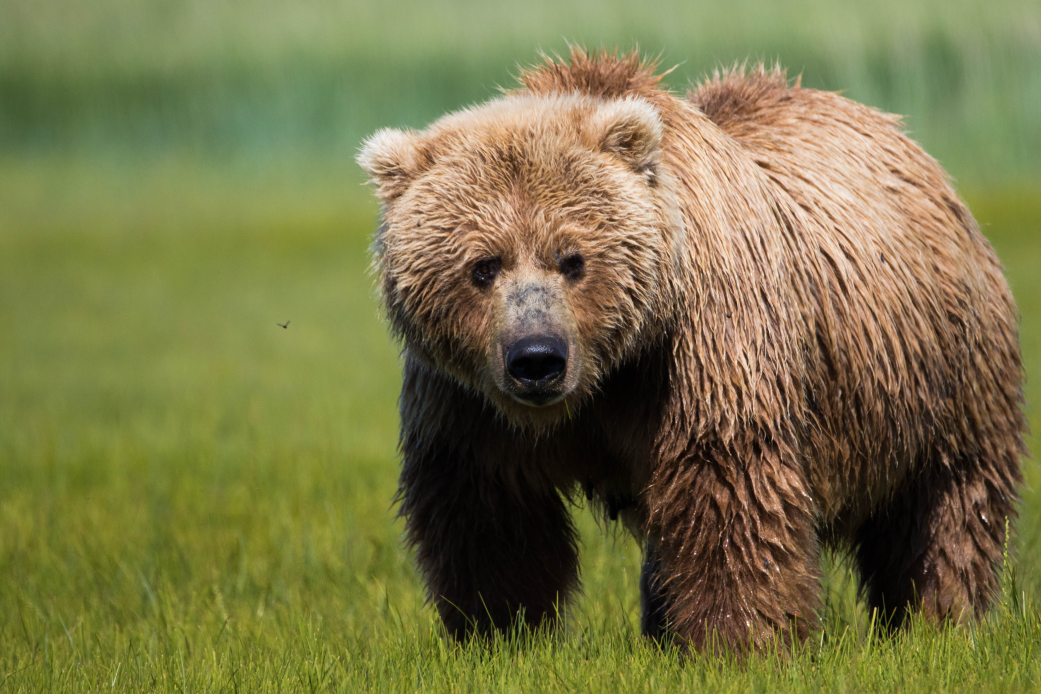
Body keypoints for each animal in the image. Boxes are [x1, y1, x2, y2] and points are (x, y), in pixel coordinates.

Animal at [356, 48, 1026, 654]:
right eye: (483, 265)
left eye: (572, 258)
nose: (538, 358)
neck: (611, 370)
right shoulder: (468, 399)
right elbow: (486, 505)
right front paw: (503, 633)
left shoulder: (699, 351)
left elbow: (725, 484)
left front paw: (737, 641)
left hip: (942, 371)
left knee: (946, 503)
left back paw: (938, 620)